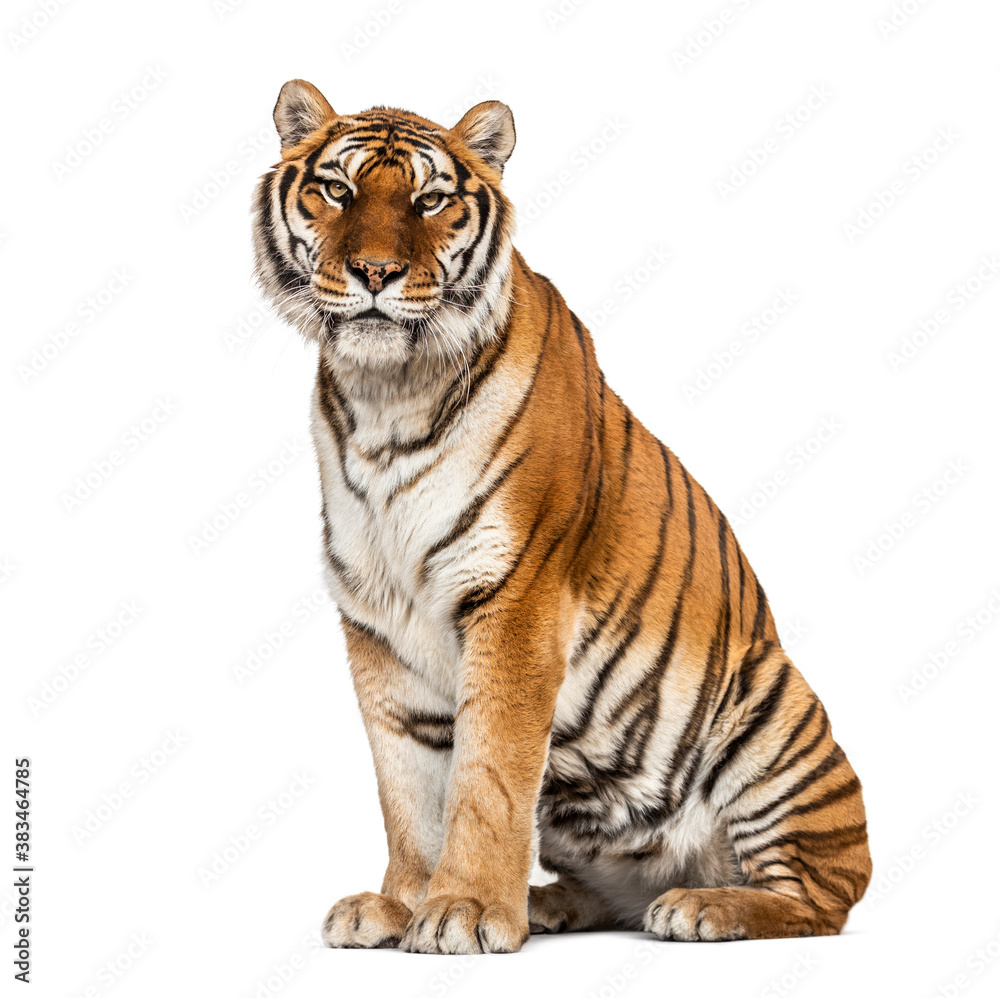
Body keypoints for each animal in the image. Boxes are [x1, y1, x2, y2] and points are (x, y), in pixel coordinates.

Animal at [251, 79, 872, 954]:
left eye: (430, 199)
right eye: (335, 190)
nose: (376, 271)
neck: (386, 397)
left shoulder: (516, 595)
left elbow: (489, 773)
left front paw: (466, 910)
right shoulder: (375, 621)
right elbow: (406, 784)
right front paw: (403, 903)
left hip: (770, 707)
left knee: (822, 895)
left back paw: (704, 907)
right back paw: (554, 903)